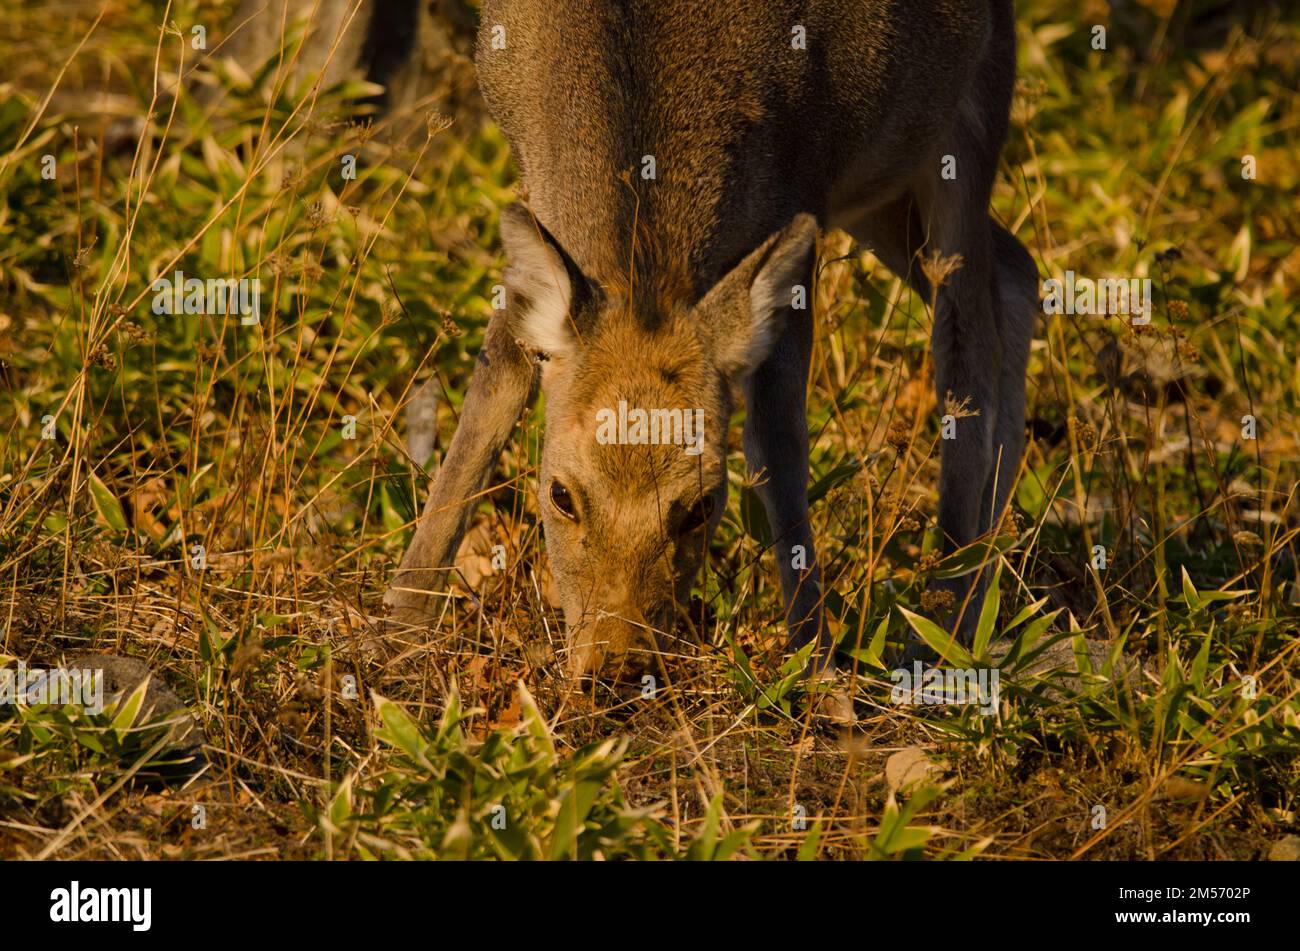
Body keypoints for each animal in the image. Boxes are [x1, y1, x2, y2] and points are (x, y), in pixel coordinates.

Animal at [382, 0, 1037, 683]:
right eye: (560, 494)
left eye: (701, 505)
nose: (617, 663)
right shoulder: (532, 190)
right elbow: (492, 392)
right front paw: (400, 625)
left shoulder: (799, 202)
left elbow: (778, 445)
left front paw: (814, 662)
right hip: (883, 182)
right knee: (1017, 271)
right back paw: (991, 580)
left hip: (968, 113)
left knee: (968, 340)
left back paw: (950, 615)